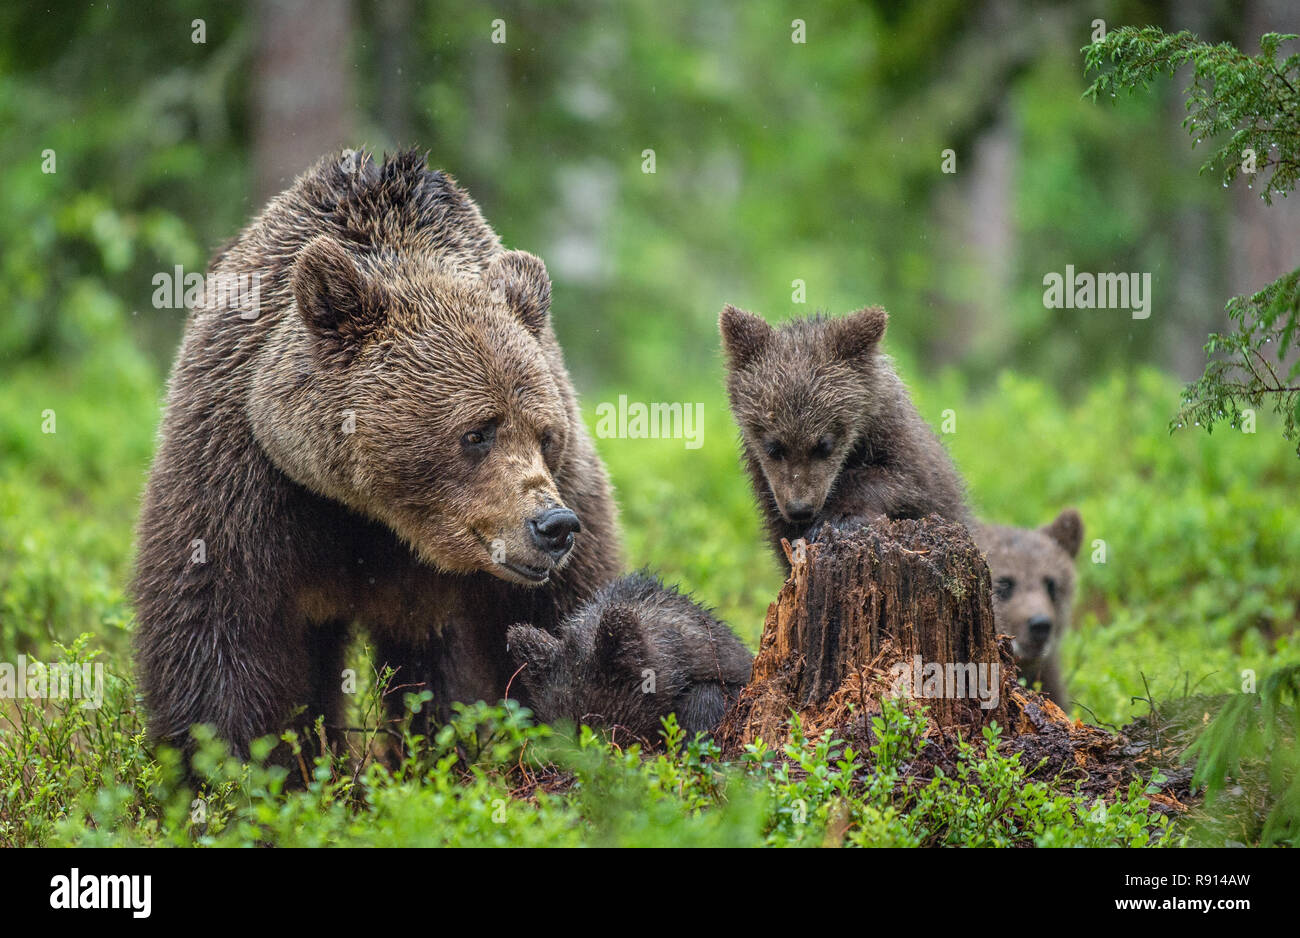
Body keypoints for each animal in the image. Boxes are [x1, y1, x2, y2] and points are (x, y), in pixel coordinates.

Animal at [131, 149, 622, 761]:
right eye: (477, 432)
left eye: (545, 433)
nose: (553, 526)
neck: (374, 515)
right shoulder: (245, 471)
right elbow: (215, 628)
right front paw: (228, 766)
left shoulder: (566, 493)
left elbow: (565, 617)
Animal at [718, 304, 970, 566]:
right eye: (774, 447)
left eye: (824, 444)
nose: (800, 508)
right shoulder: (767, 490)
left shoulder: (900, 444)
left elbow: (906, 481)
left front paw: (838, 518)